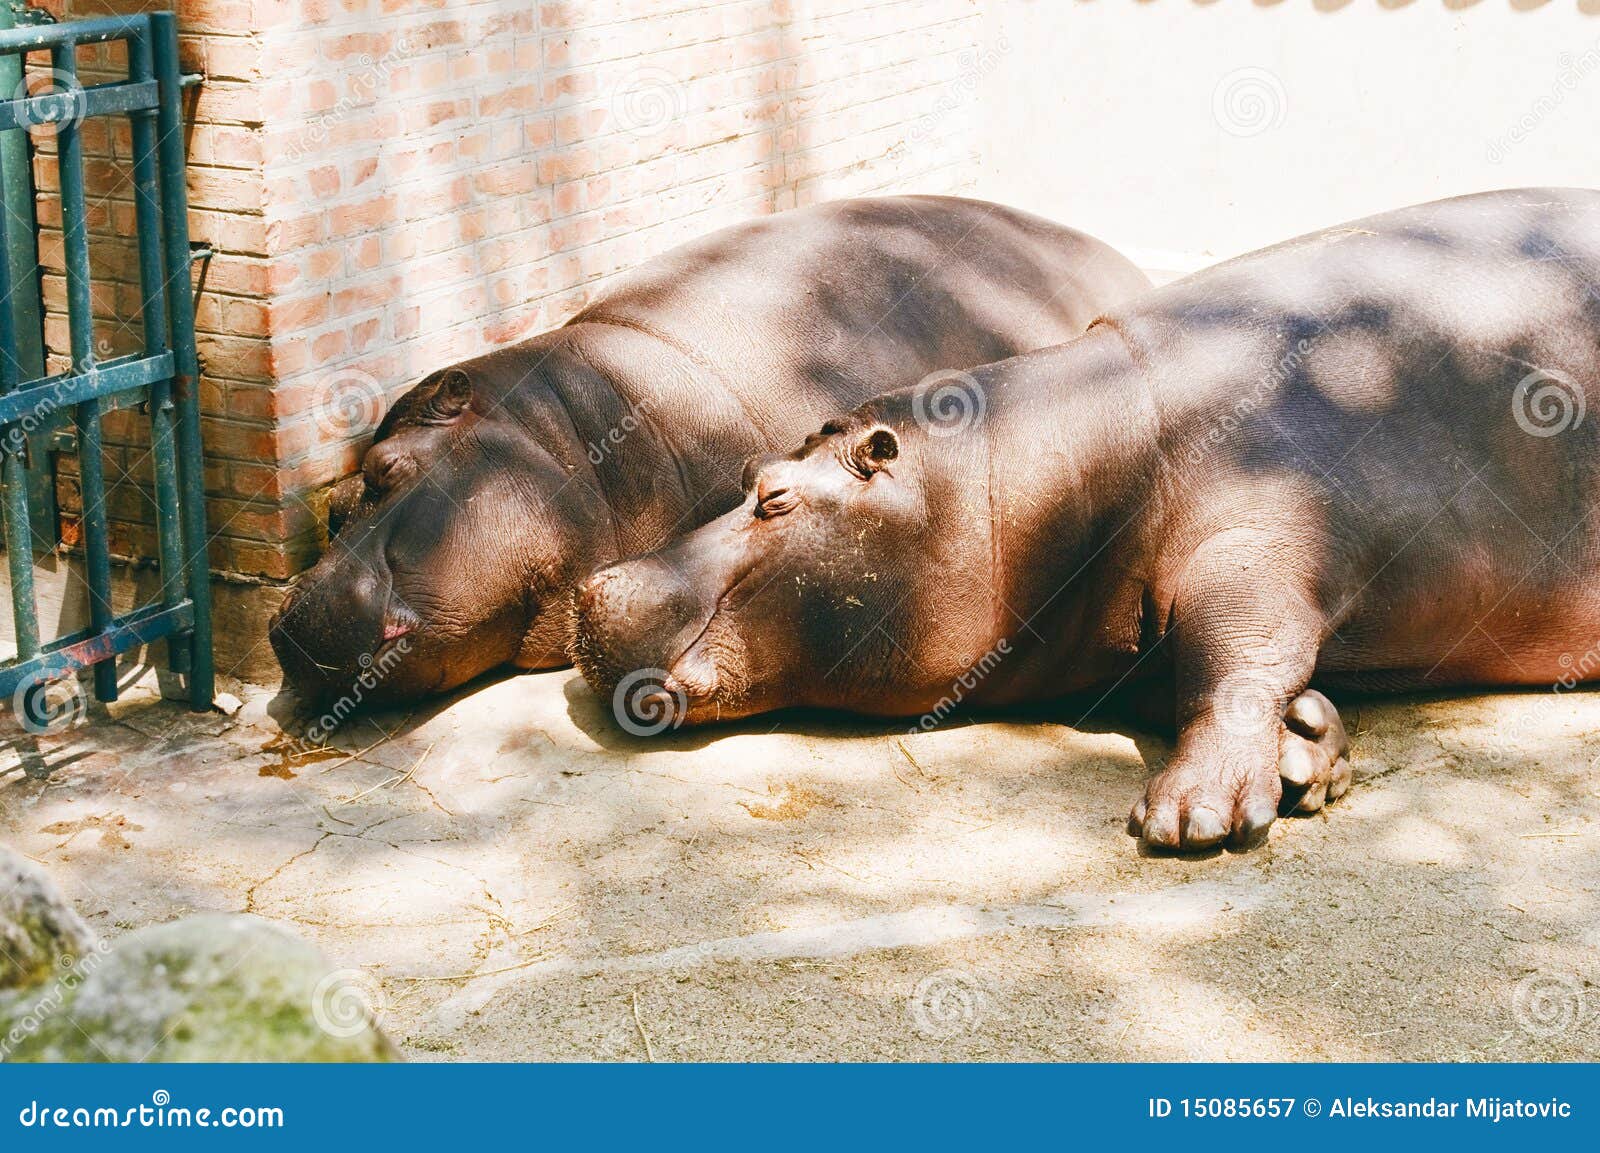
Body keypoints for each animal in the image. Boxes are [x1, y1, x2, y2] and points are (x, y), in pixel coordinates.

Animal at [572, 187, 1600, 853]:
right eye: (749, 471)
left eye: (777, 496)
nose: (592, 584)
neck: (1024, 477)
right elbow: (1214, 670)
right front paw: (1310, 747)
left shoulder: (1263, 536)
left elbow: (1240, 645)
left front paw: (1193, 816)